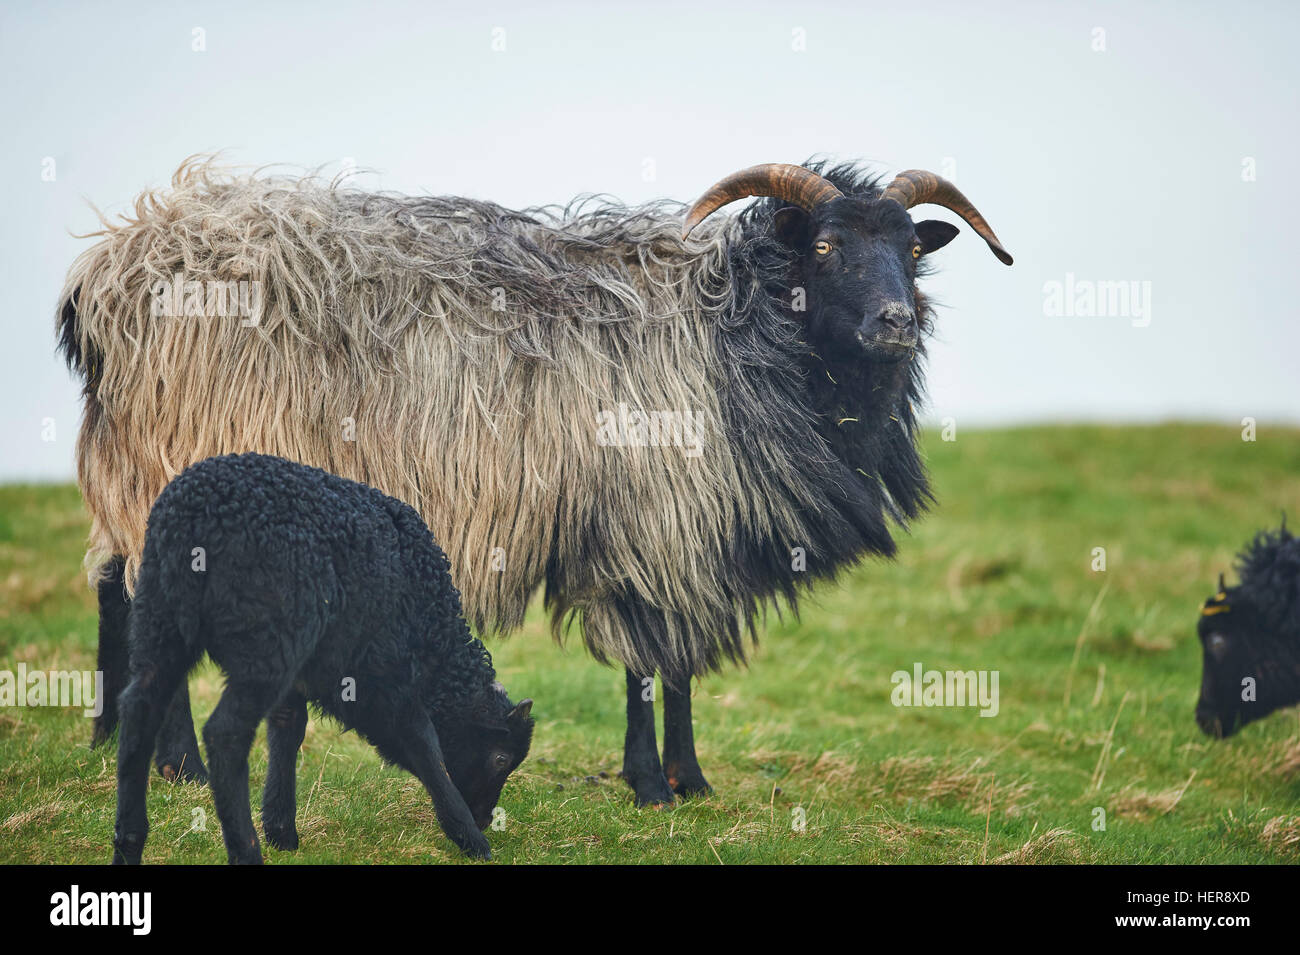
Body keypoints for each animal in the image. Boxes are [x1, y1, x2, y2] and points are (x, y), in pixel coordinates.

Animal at [58, 157, 1011, 806]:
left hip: (138, 467)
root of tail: (110, 269)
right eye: (824, 244)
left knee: (112, 584)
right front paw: (652, 785)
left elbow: (678, 670)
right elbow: (648, 666)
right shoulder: (651, 526)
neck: (740, 340)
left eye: (911, 251)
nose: (896, 321)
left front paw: (690, 780)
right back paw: (178, 763)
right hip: (177, 460)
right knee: (144, 599)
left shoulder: (684, 531)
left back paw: (114, 735)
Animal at [111, 452, 534, 864]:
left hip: (159, 620)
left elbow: (288, 728)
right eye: (501, 759)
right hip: (266, 643)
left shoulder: (306, 678)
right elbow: (425, 743)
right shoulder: (387, 671)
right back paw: (245, 851)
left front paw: (281, 830)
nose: (485, 816)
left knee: (138, 709)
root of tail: (195, 514)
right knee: (225, 734)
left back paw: (129, 844)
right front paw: (472, 838)